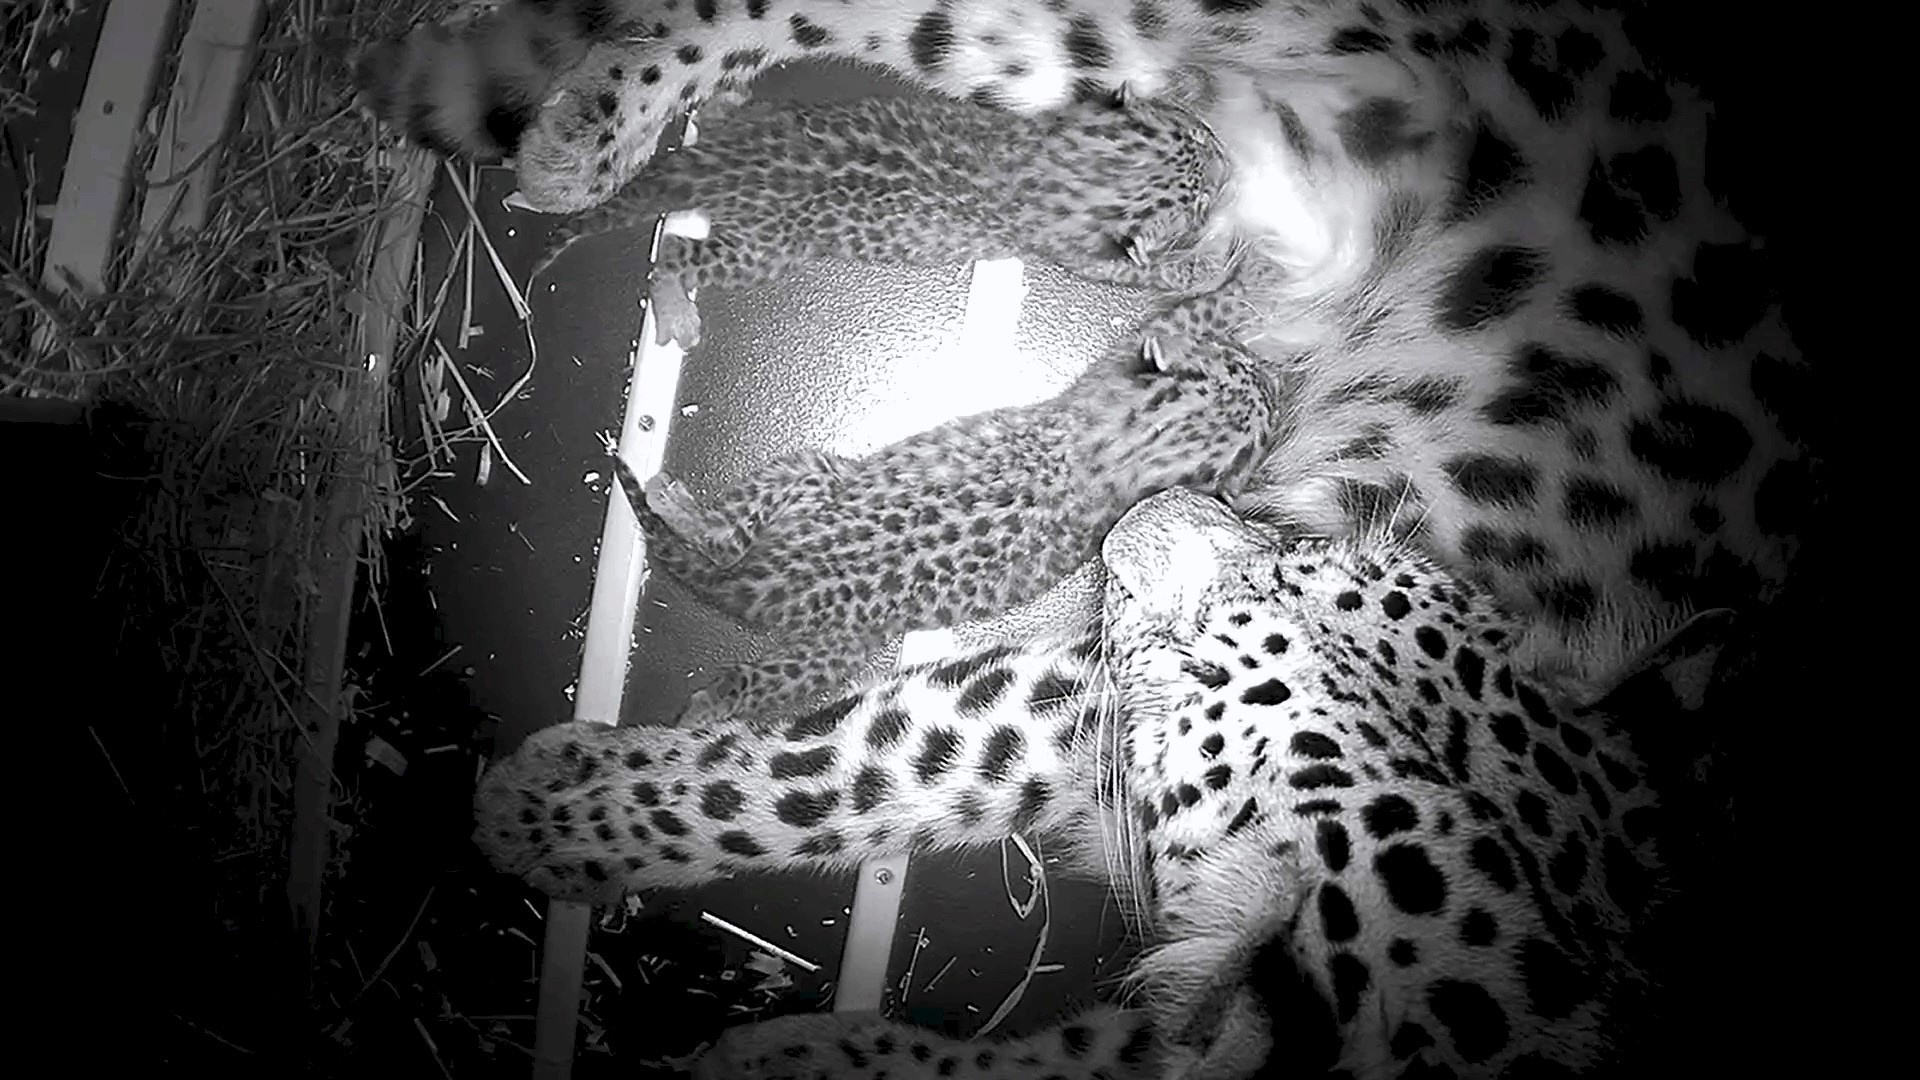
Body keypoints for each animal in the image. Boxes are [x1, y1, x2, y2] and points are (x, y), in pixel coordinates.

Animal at [476, 486, 1733, 1078]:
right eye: (1322, 561)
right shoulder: (1080, 720)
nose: (1148, 517)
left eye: (1196, 680)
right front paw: (556, 806)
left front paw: (793, 1062)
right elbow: (864, 760)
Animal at [529, 92, 1244, 349]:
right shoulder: (1087, 254)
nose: (1230, 163)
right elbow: (1154, 276)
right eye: (1198, 204)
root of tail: (716, 162)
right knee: (672, 256)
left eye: (1196, 131)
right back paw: (677, 312)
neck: (1051, 161)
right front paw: (1220, 257)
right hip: (762, 248)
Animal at [610, 331, 1282, 727]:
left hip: (821, 529)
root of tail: (771, 583)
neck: (1136, 449)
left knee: (733, 569)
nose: (1265, 368)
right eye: (1242, 371)